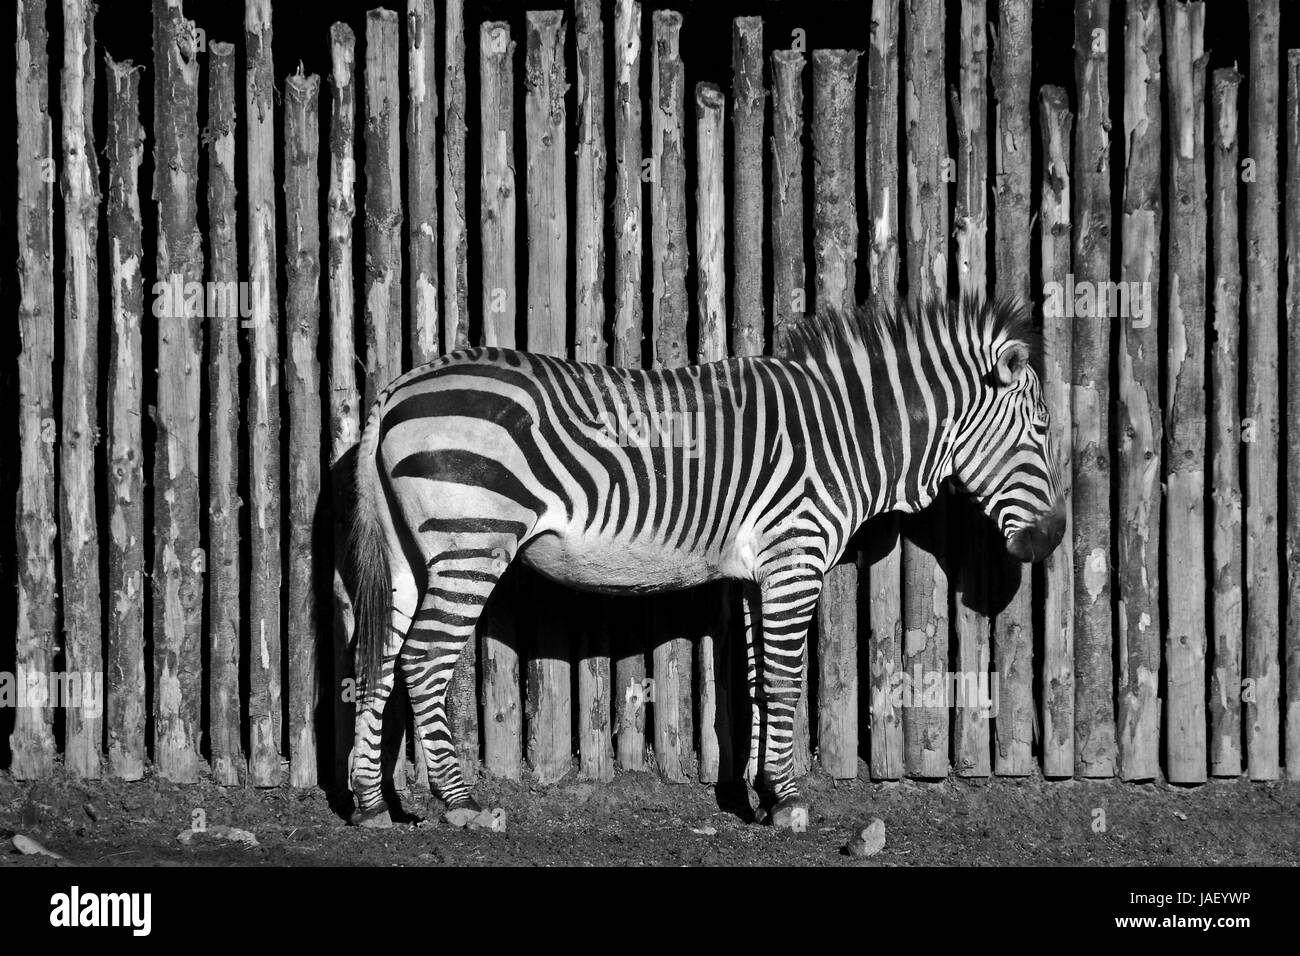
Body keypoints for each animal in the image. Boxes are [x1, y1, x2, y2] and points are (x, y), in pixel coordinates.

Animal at [345, 294, 1064, 829]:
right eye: (1041, 429)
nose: (1053, 539)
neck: (844, 434)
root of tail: (396, 388)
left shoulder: (757, 575)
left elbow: (755, 683)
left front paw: (760, 793)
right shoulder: (794, 558)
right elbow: (784, 681)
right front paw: (790, 803)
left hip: (411, 556)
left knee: (376, 657)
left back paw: (371, 806)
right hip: (472, 541)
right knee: (422, 660)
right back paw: (460, 805)